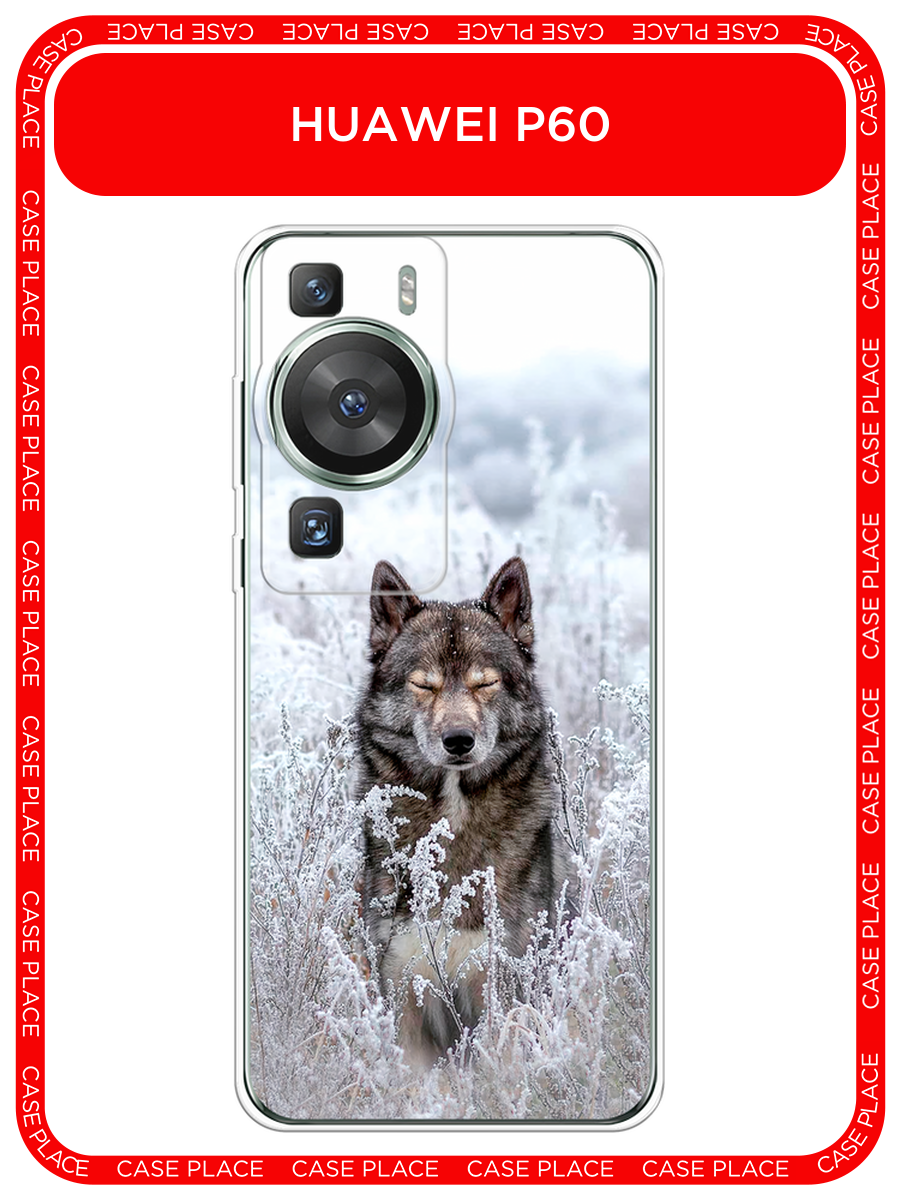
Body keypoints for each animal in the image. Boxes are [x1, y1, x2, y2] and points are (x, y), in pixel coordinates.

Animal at [357, 556, 568, 1065]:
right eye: (424, 684)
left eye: (485, 682)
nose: (458, 740)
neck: (453, 820)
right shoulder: (404, 994)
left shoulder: (500, 990)